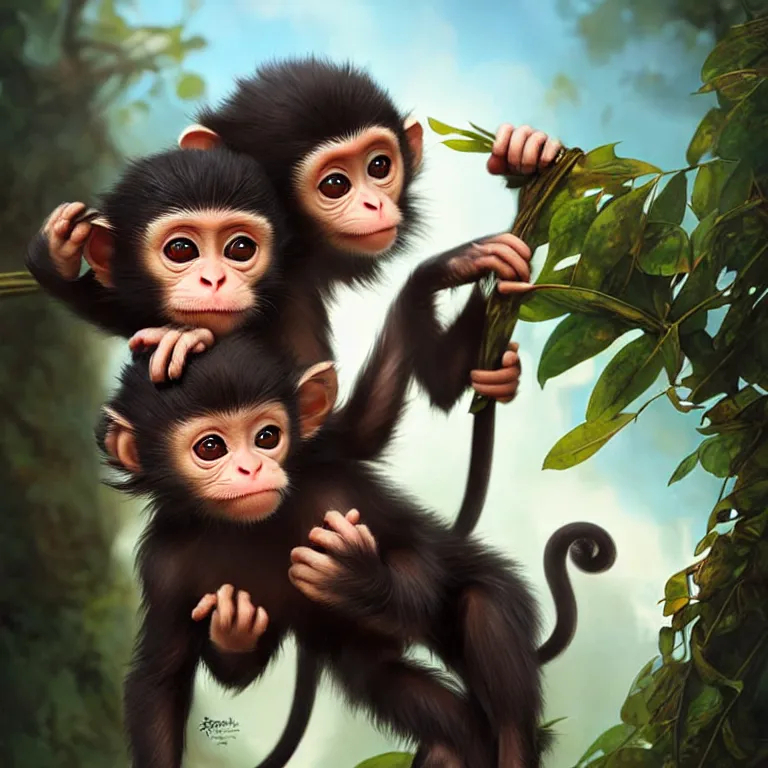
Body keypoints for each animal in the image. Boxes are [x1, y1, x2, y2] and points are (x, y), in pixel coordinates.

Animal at [99, 311, 615, 768]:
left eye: (267, 437)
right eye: (211, 447)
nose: (251, 468)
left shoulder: (332, 488)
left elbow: (411, 549)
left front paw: (355, 579)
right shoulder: (163, 564)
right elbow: (162, 677)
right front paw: (234, 627)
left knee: (483, 614)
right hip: (367, 657)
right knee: (431, 710)